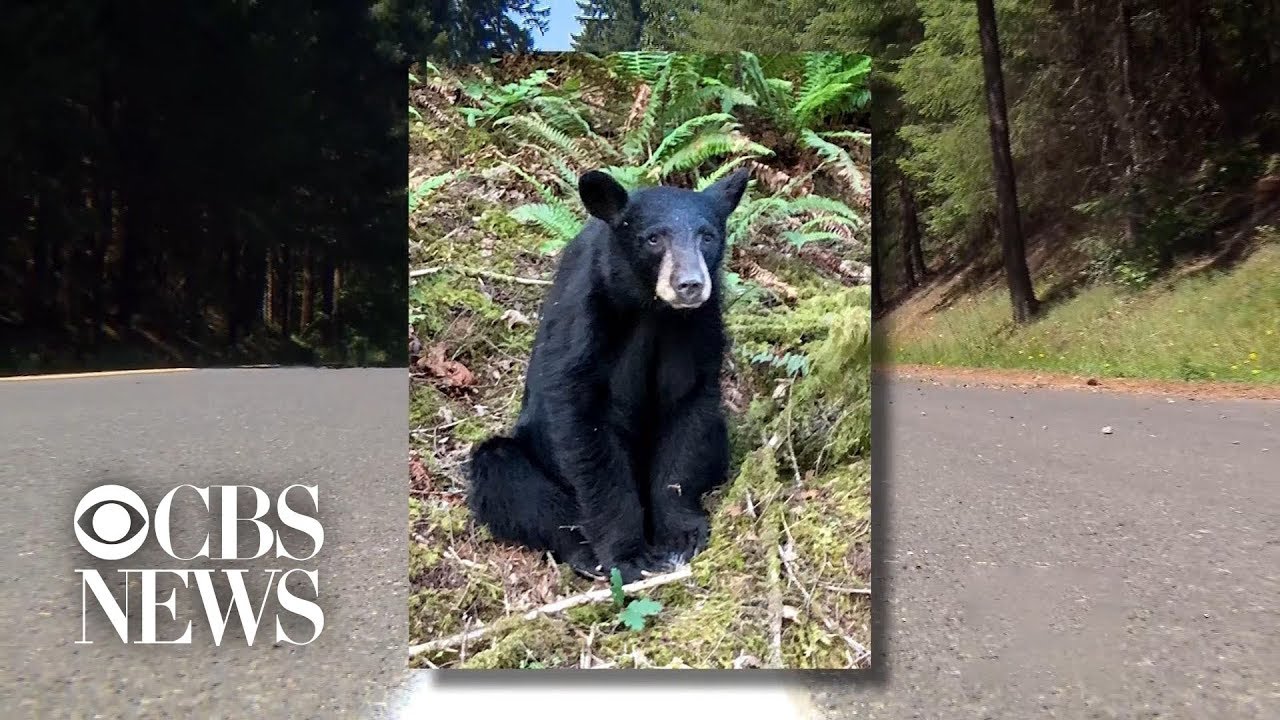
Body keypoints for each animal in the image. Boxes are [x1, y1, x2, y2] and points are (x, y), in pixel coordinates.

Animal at [465, 167, 750, 583]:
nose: (690, 285)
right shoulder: (586, 323)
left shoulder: (698, 329)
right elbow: (586, 430)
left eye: (708, 236)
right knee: (503, 474)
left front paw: (681, 534)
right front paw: (628, 554)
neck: (652, 311)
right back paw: (583, 552)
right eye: (653, 238)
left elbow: (688, 414)